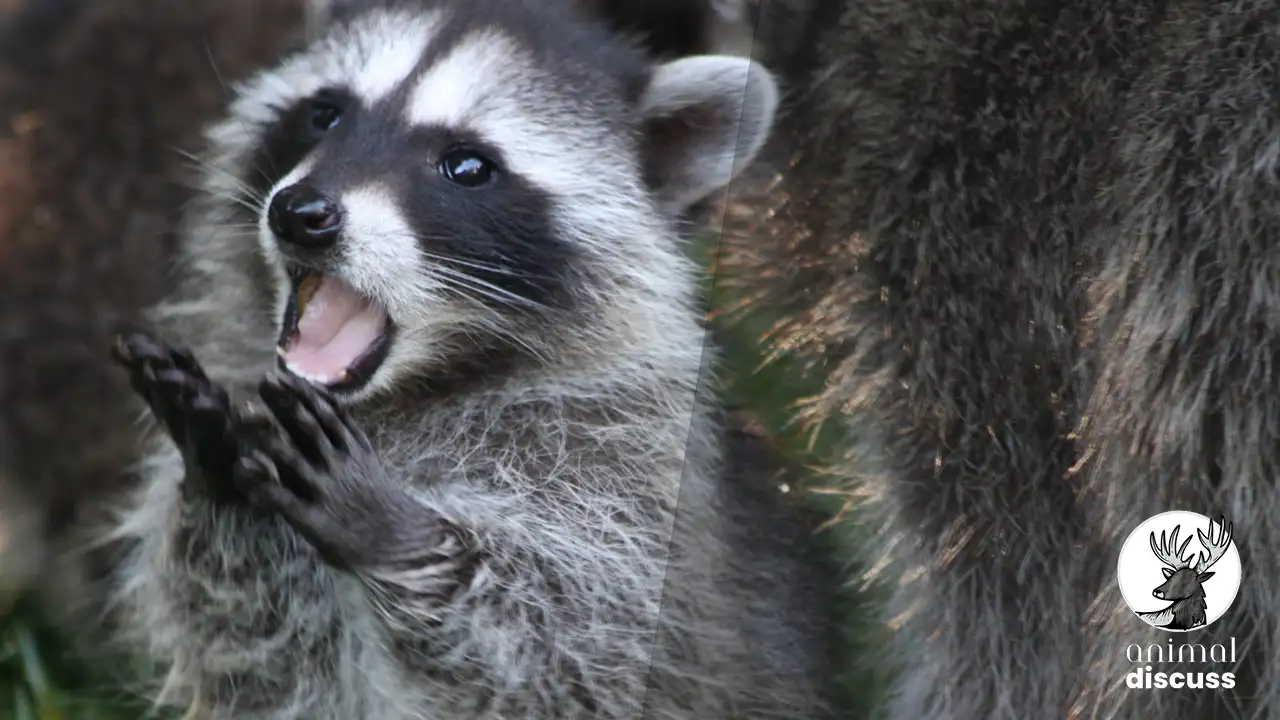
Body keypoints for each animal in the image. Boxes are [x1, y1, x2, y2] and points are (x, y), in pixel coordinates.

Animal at [77, 0, 835, 717]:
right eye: (325, 114)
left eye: (467, 167)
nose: (300, 214)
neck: (405, 390)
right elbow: (252, 649)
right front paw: (218, 475)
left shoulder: (630, 490)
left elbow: (565, 658)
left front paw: (399, 533)